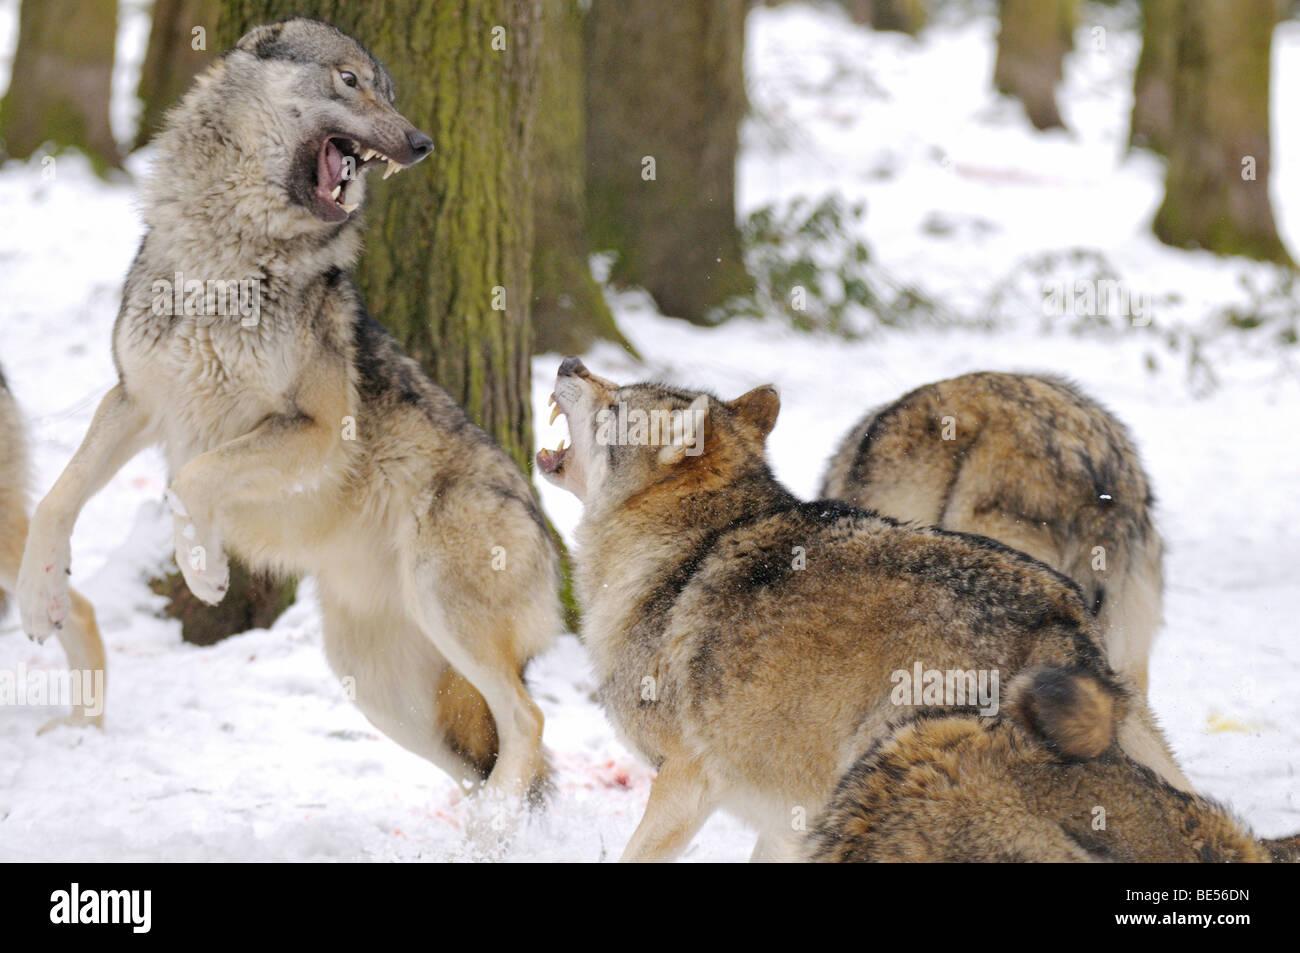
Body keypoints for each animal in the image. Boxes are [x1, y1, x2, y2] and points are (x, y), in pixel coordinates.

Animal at [15, 20, 560, 810]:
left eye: (388, 93)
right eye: (350, 82)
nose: (422, 142)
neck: (228, 260)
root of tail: (543, 515)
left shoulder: (318, 430)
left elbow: (190, 482)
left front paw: (205, 570)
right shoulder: (136, 399)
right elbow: (57, 499)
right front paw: (38, 600)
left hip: (444, 613)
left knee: (530, 719)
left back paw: (496, 822)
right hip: (379, 689)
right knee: (496, 752)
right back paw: (489, 825)